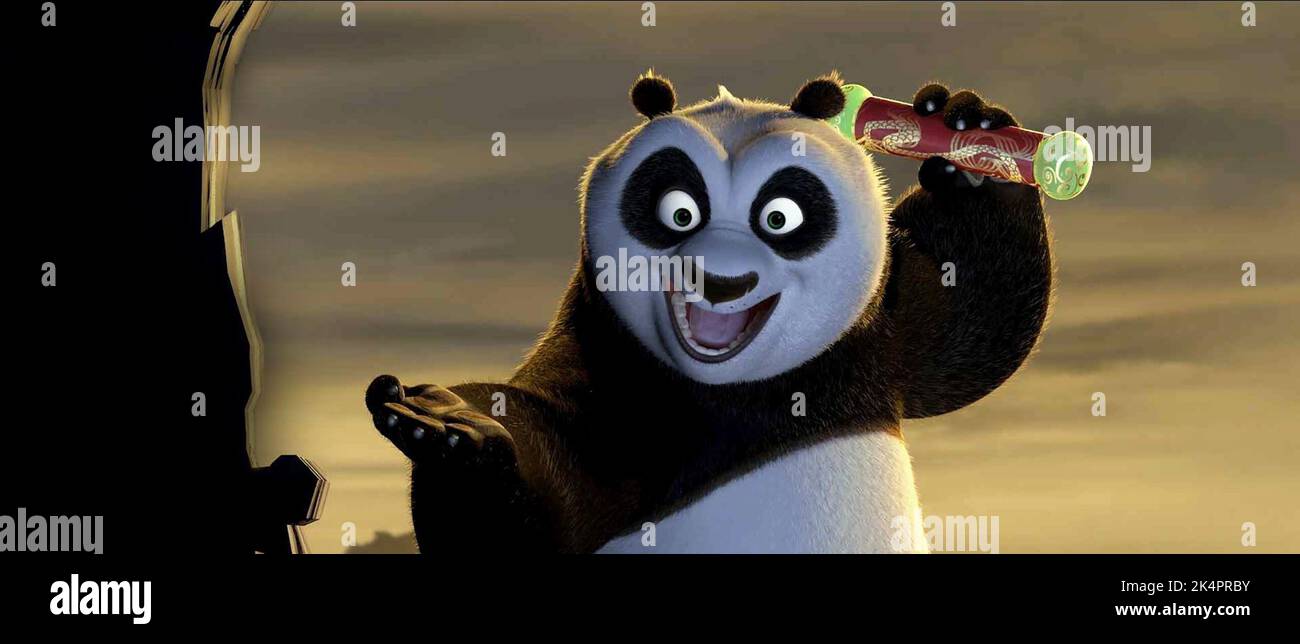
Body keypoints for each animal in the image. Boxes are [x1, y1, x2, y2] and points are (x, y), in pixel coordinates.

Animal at [364, 72, 1052, 553]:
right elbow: (541, 506)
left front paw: (970, 140)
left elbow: (967, 320)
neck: (733, 391)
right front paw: (455, 429)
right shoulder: (608, 369)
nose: (720, 282)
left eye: (781, 217)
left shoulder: (872, 340)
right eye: (678, 210)